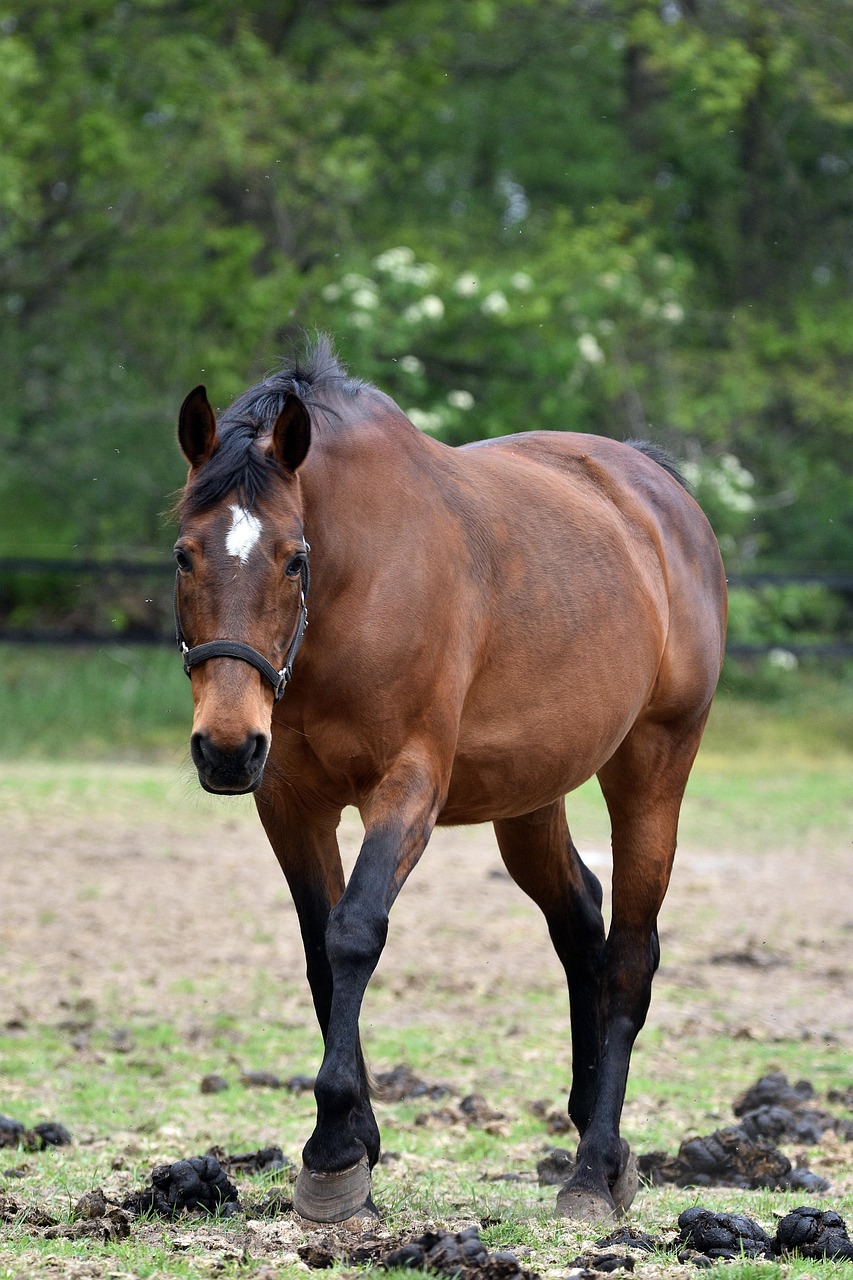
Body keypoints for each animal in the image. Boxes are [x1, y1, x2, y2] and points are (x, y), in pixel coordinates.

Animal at [173, 336, 727, 1224]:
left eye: (294, 559)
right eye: (183, 554)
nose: (225, 748)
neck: (354, 590)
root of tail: (656, 492)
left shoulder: (408, 786)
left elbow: (355, 932)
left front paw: (331, 1154)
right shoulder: (289, 802)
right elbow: (319, 953)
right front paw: (353, 1142)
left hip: (653, 765)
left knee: (629, 957)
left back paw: (591, 1170)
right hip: (530, 797)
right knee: (580, 921)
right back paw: (594, 1138)